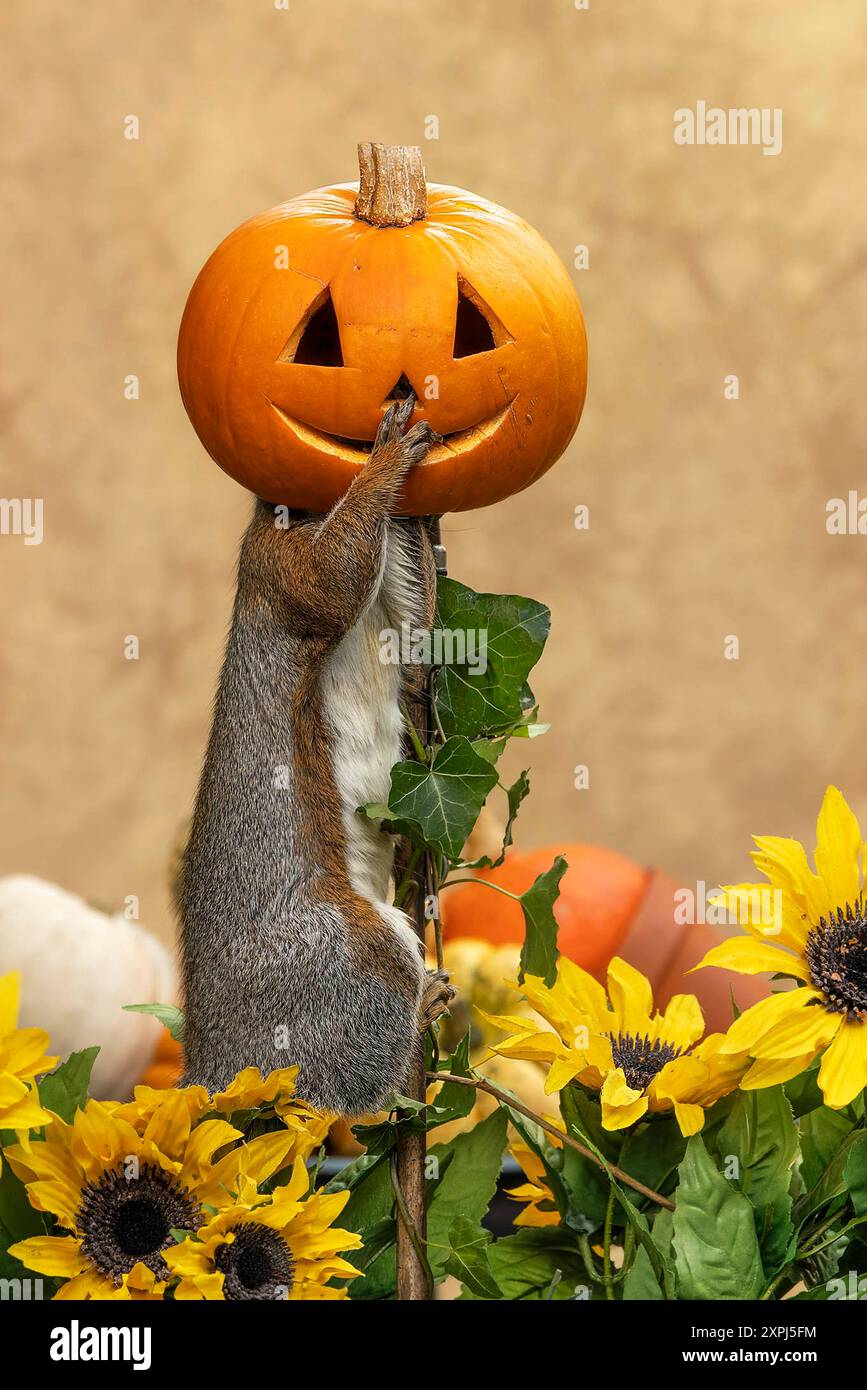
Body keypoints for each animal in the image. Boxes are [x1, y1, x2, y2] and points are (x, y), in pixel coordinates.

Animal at [178, 396, 455, 1114]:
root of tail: (217, 1069)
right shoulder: (275, 563)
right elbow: (330, 578)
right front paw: (387, 454)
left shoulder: (398, 611)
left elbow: (419, 620)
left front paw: (422, 512)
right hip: (349, 955)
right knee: (353, 1090)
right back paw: (422, 1012)